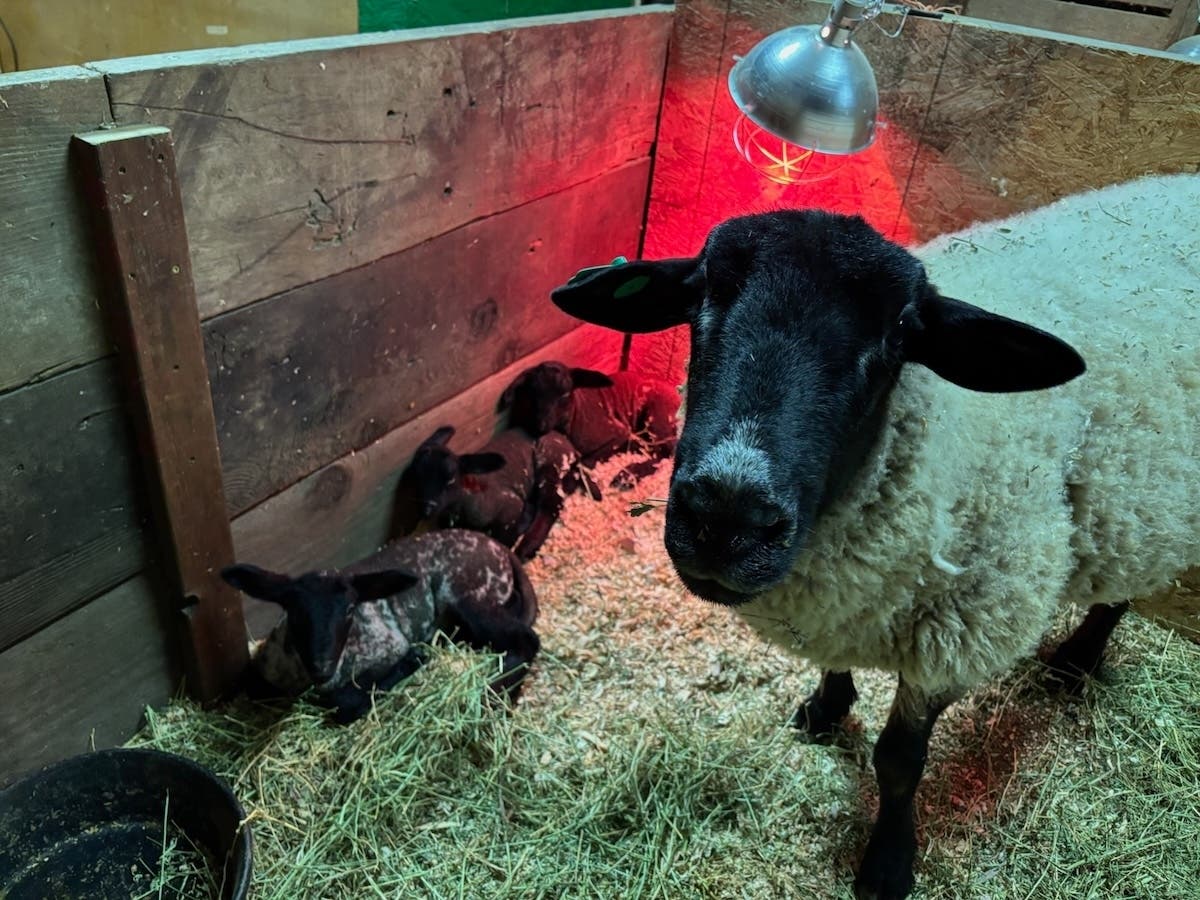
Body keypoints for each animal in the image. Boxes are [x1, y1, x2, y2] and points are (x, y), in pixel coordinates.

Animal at [221, 528, 541, 724]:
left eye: (350, 610)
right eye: (294, 612)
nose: (322, 667)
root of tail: (502, 549)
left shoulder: (388, 643)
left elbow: (343, 702)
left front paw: (411, 662)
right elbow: (253, 685)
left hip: (467, 596)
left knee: (527, 639)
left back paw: (496, 693)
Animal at [398, 424, 587, 561]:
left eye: (451, 478)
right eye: (416, 477)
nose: (426, 510)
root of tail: (567, 442)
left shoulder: (511, 505)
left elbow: (502, 538)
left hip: (550, 462)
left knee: (550, 504)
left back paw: (526, 548)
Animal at [497, 361, 681, 488]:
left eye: (565, 395)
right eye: (533, 393)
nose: (541, 425)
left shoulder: (619, 432)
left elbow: (585, 461)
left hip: (658, 417)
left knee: (665, 453)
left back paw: (628, 475)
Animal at [547, 173, 1200, 899]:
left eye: (900, 336)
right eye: (702, 295)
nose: (726, 518)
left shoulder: (957, 629)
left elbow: (898, 762)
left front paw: (888, 861)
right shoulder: (842, 600)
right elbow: (835, 662)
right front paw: (826, 708)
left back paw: (1076, 660)